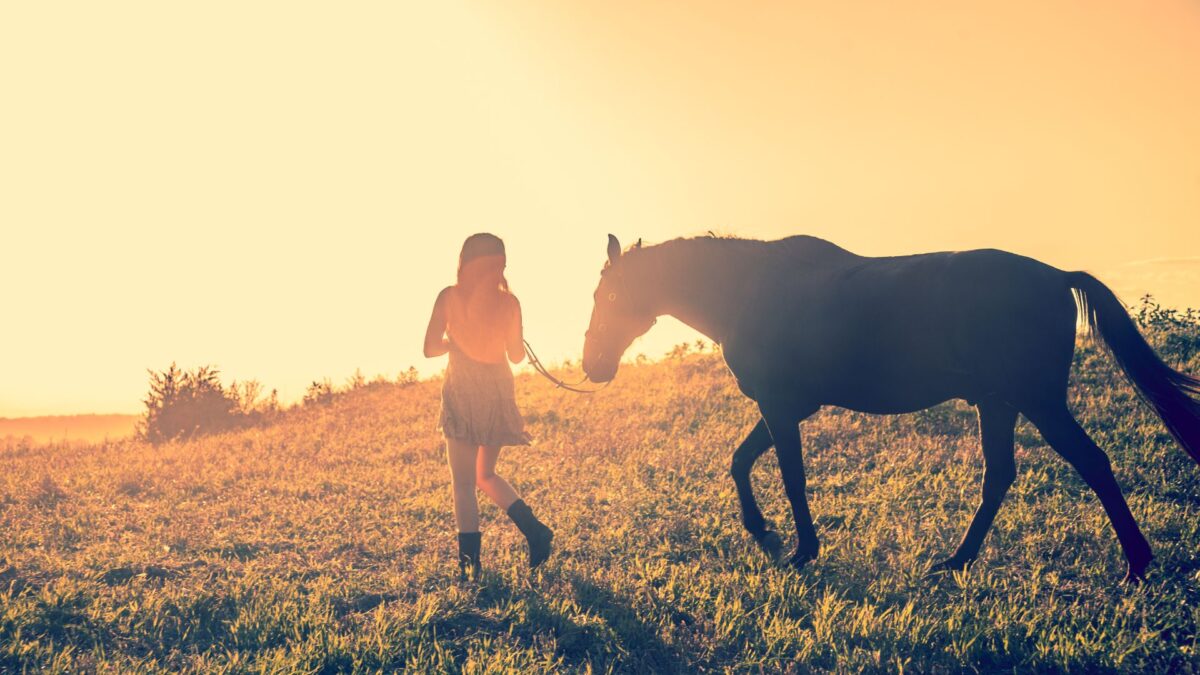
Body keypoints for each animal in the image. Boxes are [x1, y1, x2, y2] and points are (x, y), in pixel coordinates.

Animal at [581, 234, 1200, 582]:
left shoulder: (782, 406)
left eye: (606, 295)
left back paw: (1136, 564)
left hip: (1037, 401)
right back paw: (956, 562)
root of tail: (1056, 276)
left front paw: (799, 549)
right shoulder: (788, 406)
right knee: (999, 475)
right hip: (998, 402)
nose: (592, 364)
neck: (747, 291)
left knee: (1091, 463)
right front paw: (767, 535)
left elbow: (790, 477)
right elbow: (740, 462)